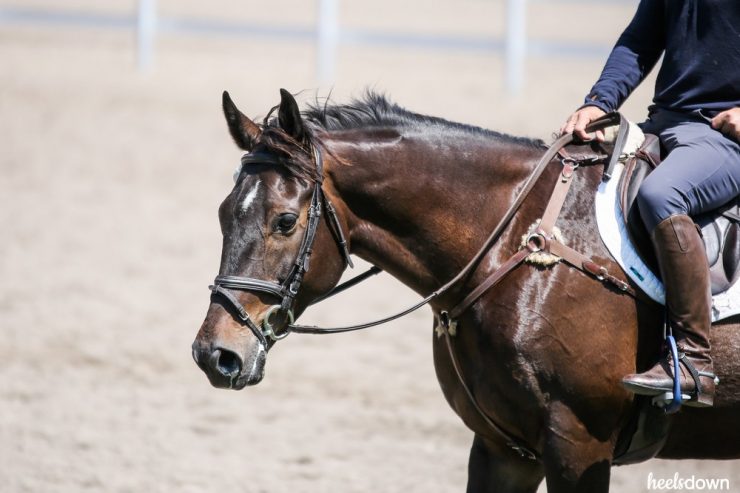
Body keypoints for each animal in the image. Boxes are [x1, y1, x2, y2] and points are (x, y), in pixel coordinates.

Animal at [192, 88, 740, 492]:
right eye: (222, 214)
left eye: (285, 222)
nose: (215, 355)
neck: (513, 242)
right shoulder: (505, 450)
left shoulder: (579, 445)